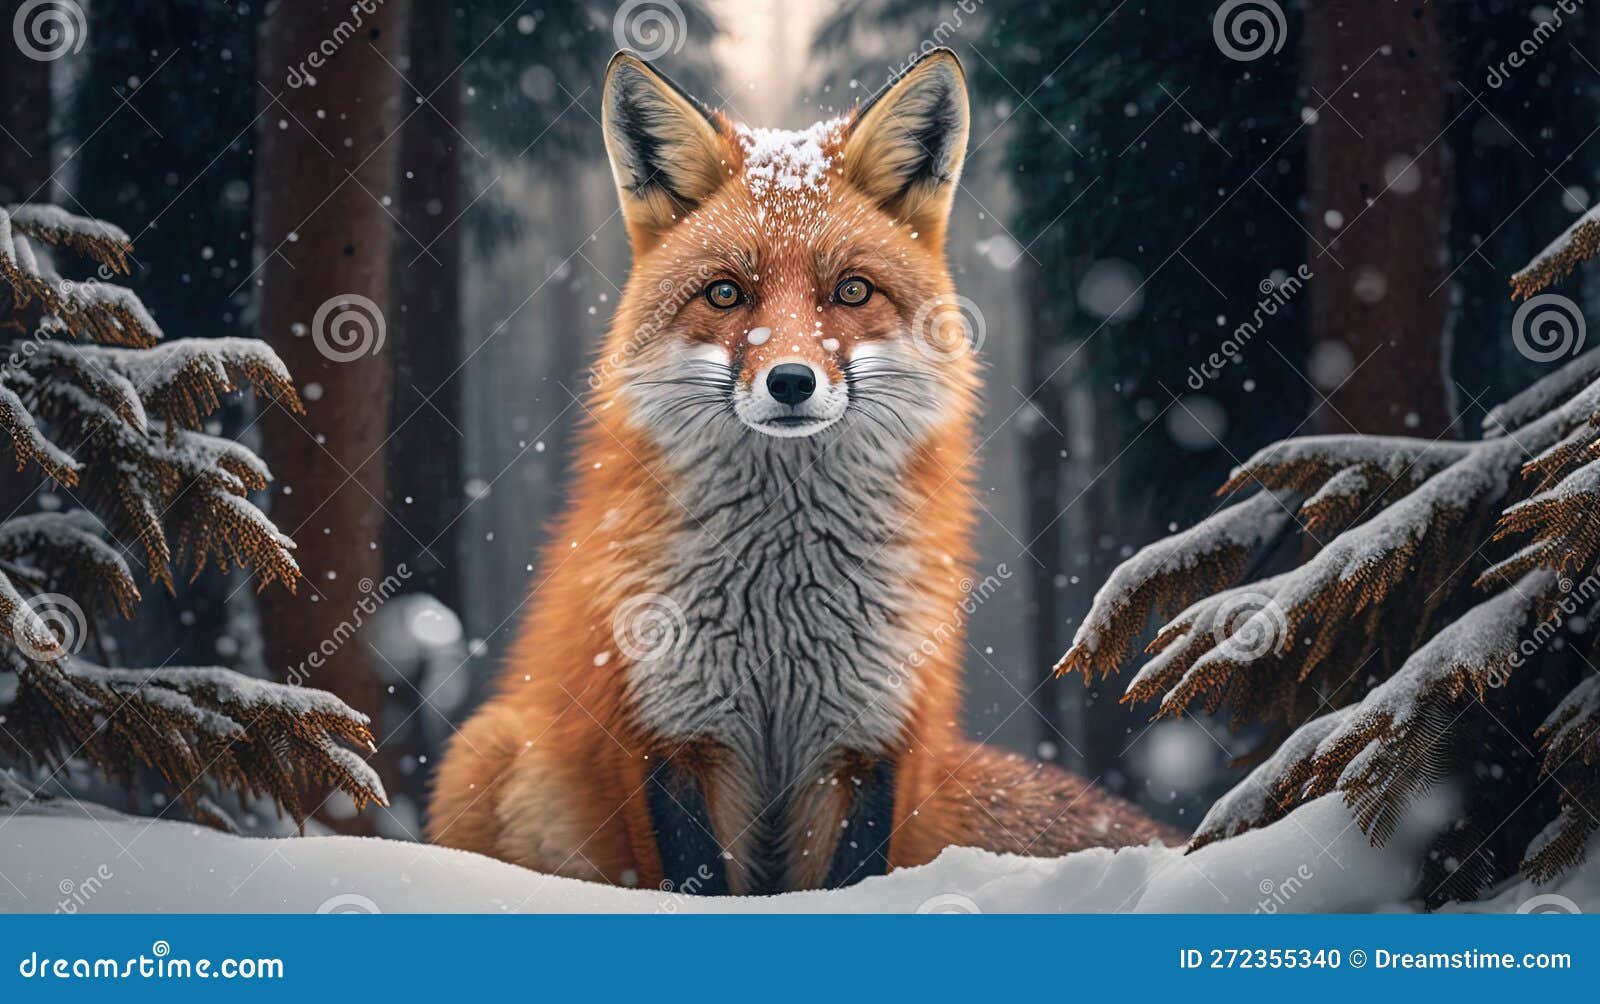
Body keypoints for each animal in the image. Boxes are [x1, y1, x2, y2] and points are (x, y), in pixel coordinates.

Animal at [427, 48, 1180, 895]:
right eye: (726, 292)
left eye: (851, 289)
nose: (791, 381)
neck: (779, 621)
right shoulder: (673, 737)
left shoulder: (866, 741)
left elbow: (847, 879)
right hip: (483, 751)